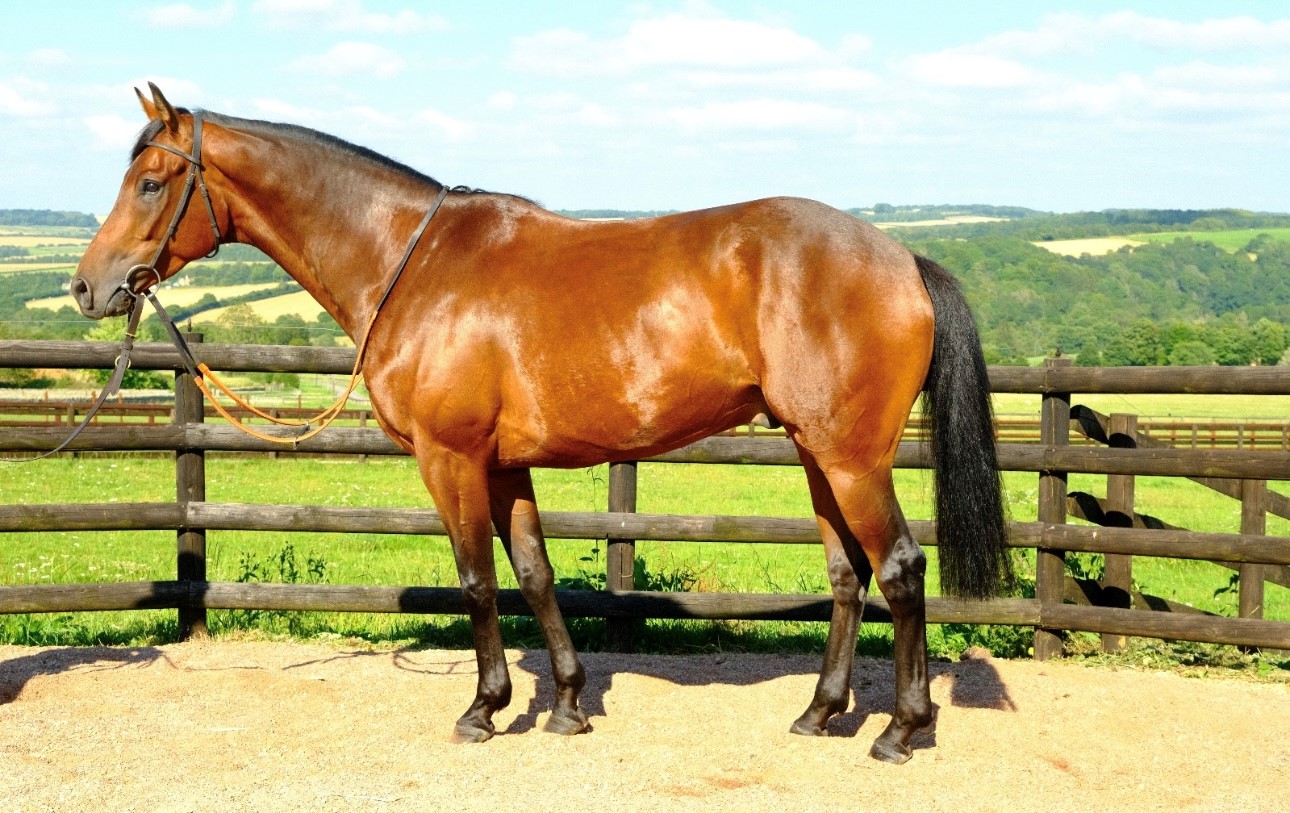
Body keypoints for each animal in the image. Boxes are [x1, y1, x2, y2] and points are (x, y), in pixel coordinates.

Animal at [73, 84, 1010, 764]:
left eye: (151, 182)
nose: (89, 286)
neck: (414, 264)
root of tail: (901, 258)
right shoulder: (502, 465)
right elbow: (535, 573)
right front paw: (563, 703)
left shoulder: (450, 459)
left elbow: (478, 580)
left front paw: (483, 709)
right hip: (818, 454)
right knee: (849, 576)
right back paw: (820, 712)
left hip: (852, 459)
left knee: (900, 569)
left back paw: (902, 729)